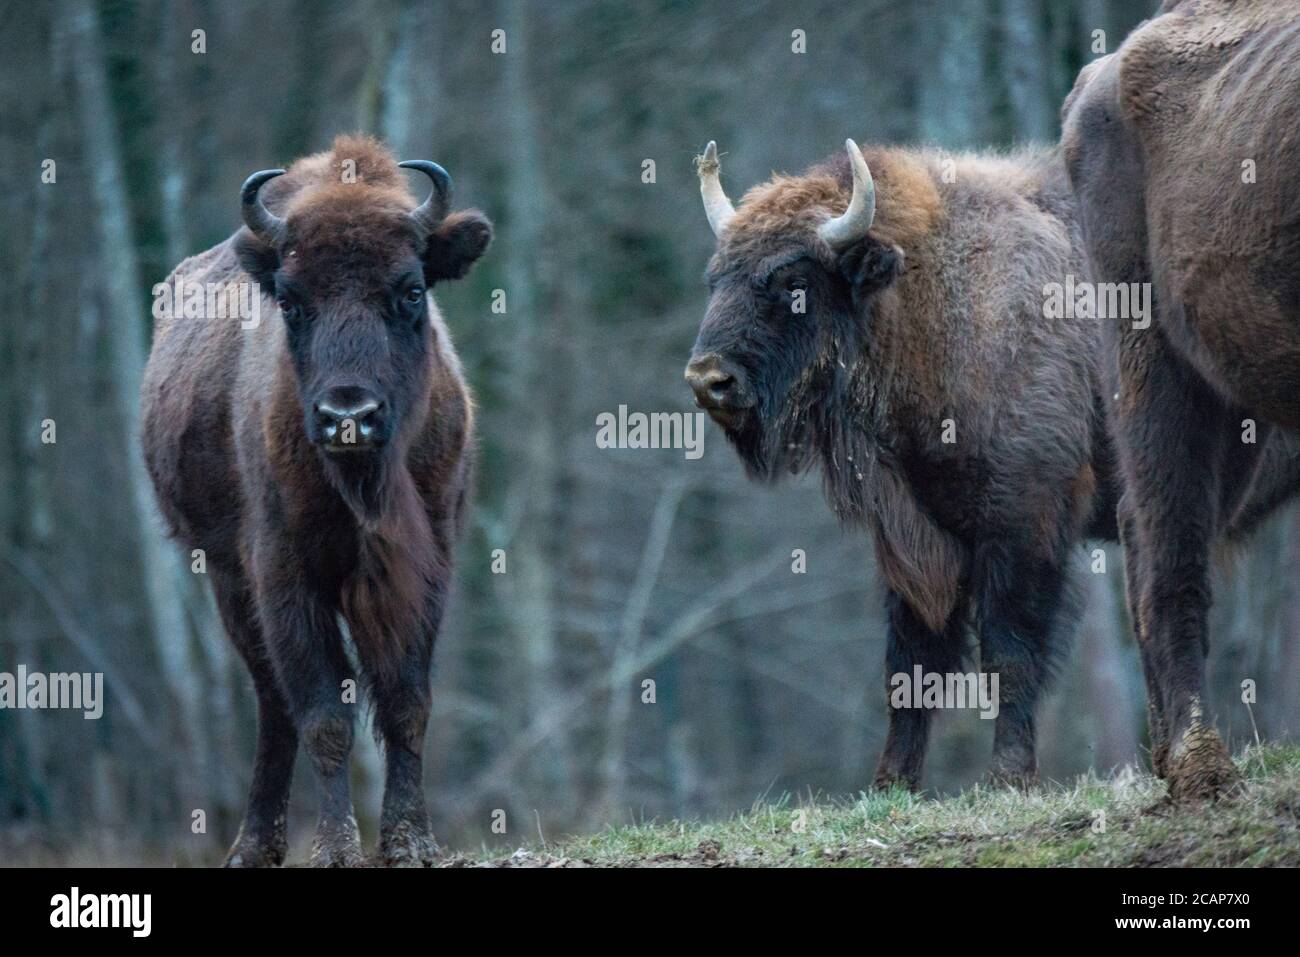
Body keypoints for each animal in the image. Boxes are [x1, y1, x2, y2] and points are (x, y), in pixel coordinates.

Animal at [141, 135, 491, 864]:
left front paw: (412, 842)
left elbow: (407, 701)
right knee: (275, 705)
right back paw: (252, 846)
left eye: (411, 290)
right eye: (291, 299)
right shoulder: (283, 574)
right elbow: (325, 715)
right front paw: (336, 848)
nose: (346, 415)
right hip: (229, 583)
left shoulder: (425, 569)